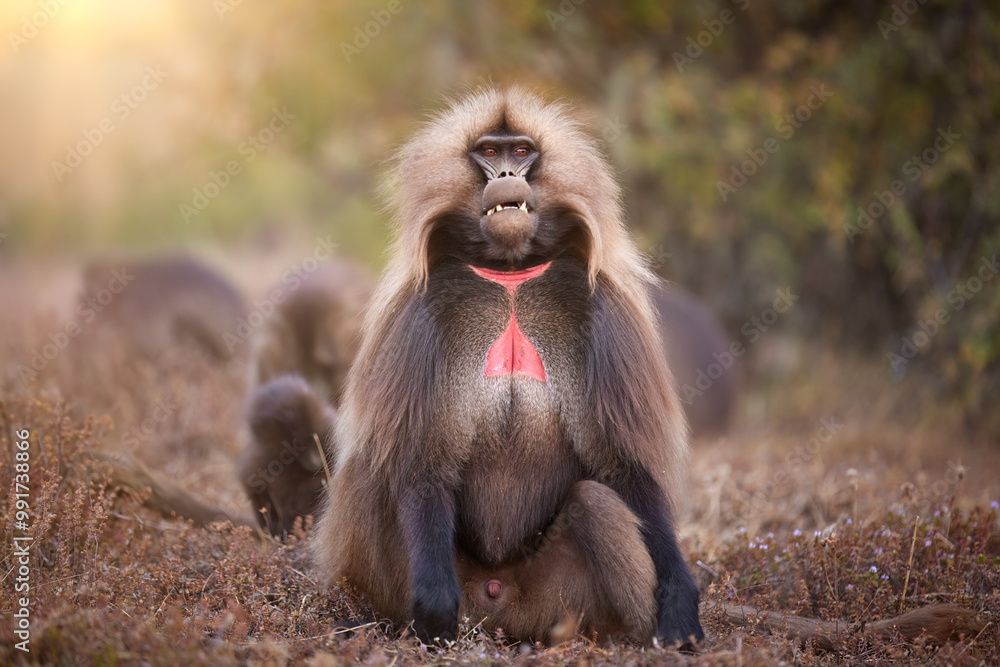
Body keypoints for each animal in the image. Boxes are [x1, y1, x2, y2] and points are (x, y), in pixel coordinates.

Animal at [311, 88, 704, 649]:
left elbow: (624, 469)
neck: (511, 275)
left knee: (597, 503)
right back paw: (387, 624)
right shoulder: (420, 314)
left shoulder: (605, 314)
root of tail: (498, 607)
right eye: (487, 152)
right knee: (376, 469)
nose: (504, 176)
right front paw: (432, 603)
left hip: (550, 601)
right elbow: (422, 459)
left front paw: (680, 599)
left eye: (521, 152)